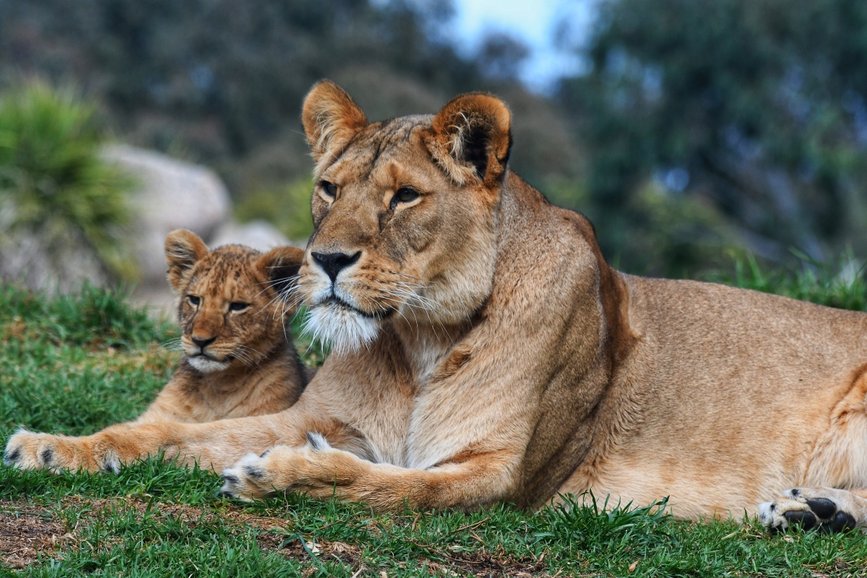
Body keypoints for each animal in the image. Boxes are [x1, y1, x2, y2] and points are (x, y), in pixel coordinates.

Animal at [6, 82, 867, 532]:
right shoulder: (315, 416)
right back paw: (810, 511)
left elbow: (387, 484)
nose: (325, 260)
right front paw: (52, 447)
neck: (418, 337)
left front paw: (277, 475)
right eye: (329, 187)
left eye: (404, 197)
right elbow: (161, 435)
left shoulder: (500, 475)